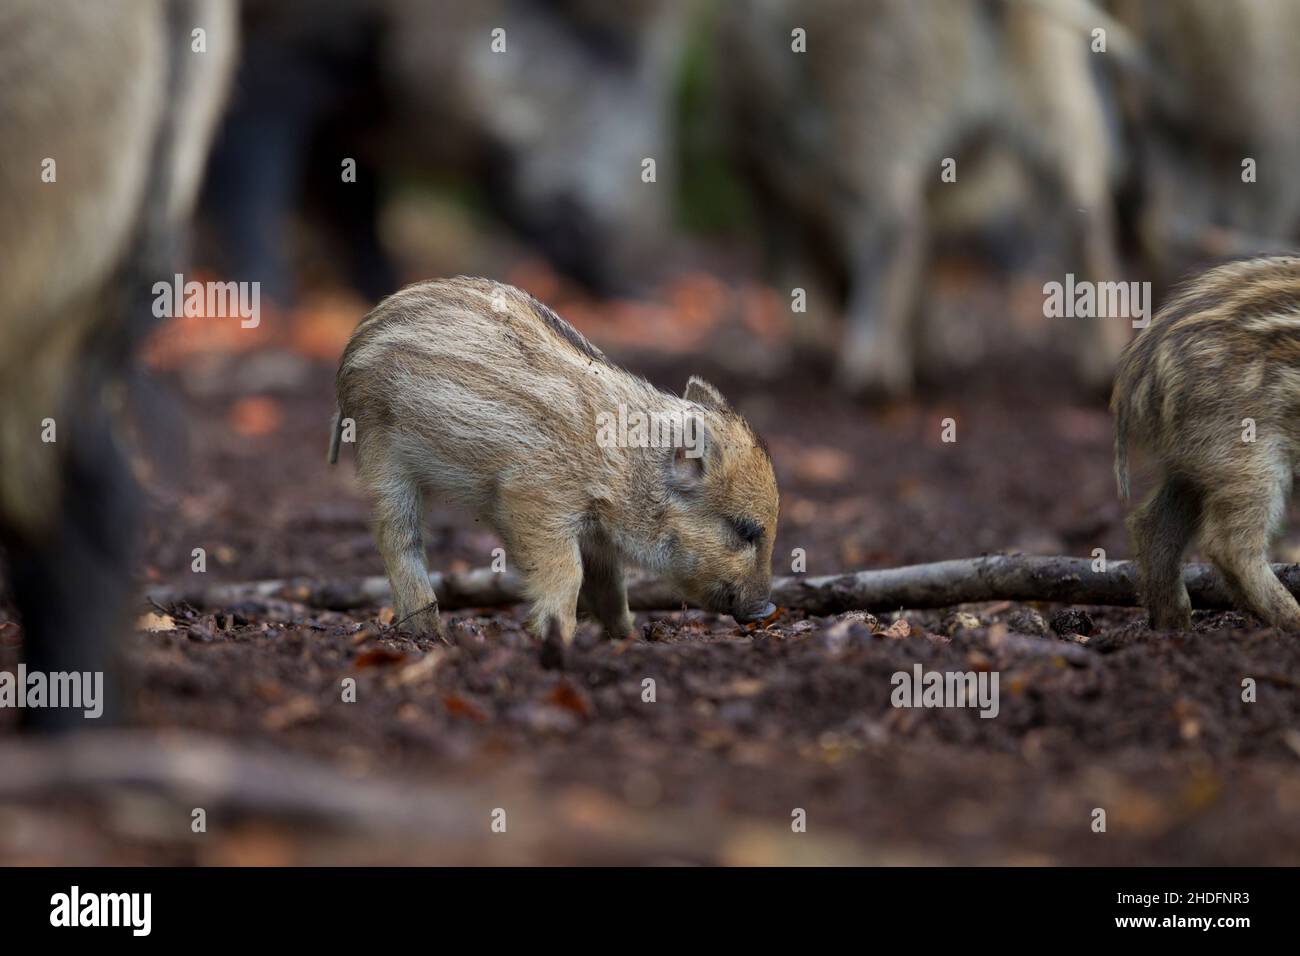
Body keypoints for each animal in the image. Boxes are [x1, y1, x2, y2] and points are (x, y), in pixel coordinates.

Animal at [330, 278, 779, 643]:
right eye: (743, 530)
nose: (767, 610)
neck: (628, 470)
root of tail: (359, 334)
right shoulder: (533, 498)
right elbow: (568, 572)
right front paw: (557, 636)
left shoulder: (597, 532)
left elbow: (609, 581)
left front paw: (627, 636)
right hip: (381, 454)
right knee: (398, 538)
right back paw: (428, 632)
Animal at [720, 0, 1129, 395]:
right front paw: (926, 360)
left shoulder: (769, 177)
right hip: (1057, 91)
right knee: (1083, 220)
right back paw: (1103, 374)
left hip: (875, 100)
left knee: (897, 226)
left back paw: (869, 381)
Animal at [1112, 255, 1300, 632]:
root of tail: (1138, 371)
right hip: (1246, 452)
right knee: (1230, 545)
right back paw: (1293, 618)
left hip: (1196, 459)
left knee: (1150, 525)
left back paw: (1174, 625)